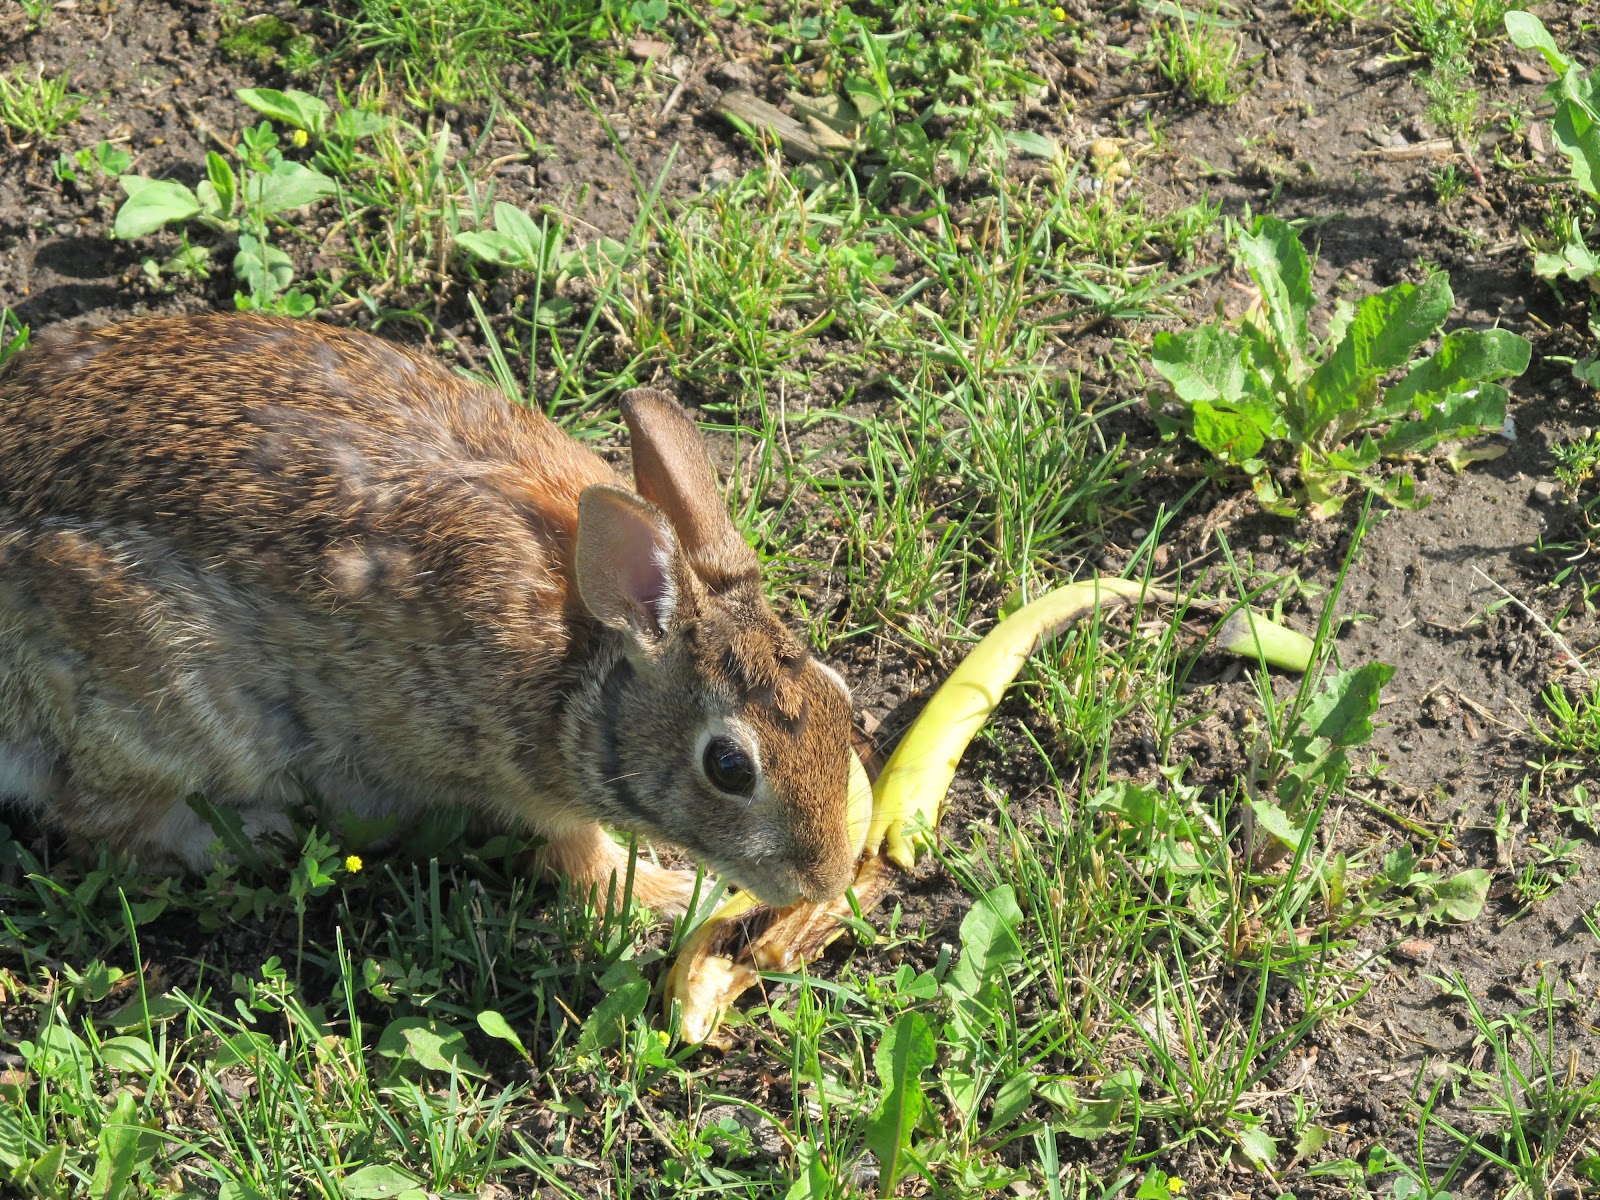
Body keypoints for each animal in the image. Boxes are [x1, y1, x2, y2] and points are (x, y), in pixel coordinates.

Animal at [0, 312, 861, 915]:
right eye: (729, 768)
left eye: (842, 699)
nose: (824, 883)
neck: (585, 662)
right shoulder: (522, 782)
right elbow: (579, 854)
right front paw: (667, 893)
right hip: (149, 694)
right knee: (105, 822)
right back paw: (257, 835)